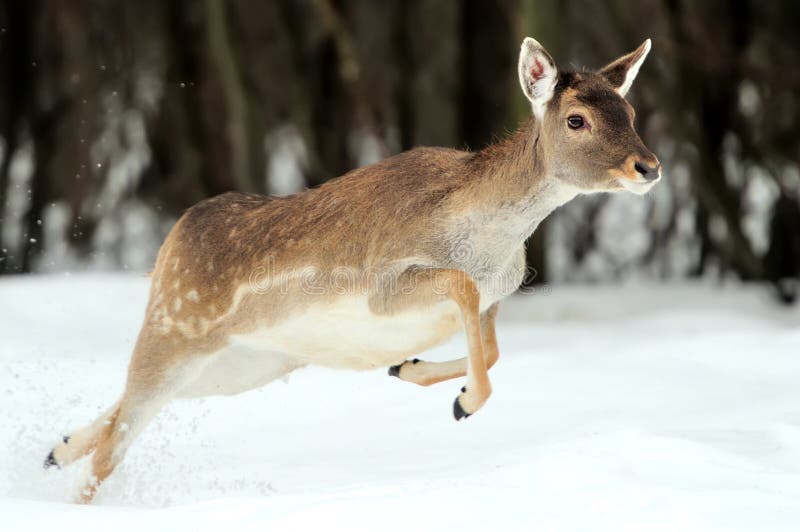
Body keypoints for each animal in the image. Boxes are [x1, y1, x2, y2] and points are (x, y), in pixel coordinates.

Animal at [43, 36, 664, 502]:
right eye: (577, 120)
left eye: (631, 112)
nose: (649, 166)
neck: (486, 241)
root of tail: (169, 245)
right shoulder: (383, 284)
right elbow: (461, 292)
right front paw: (464, 401)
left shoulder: (498, 295)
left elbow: (490, 349)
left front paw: (411, 371)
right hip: (174, 330)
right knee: (112, 449)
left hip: (244, 365)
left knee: (123, 413)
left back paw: (57, 448)